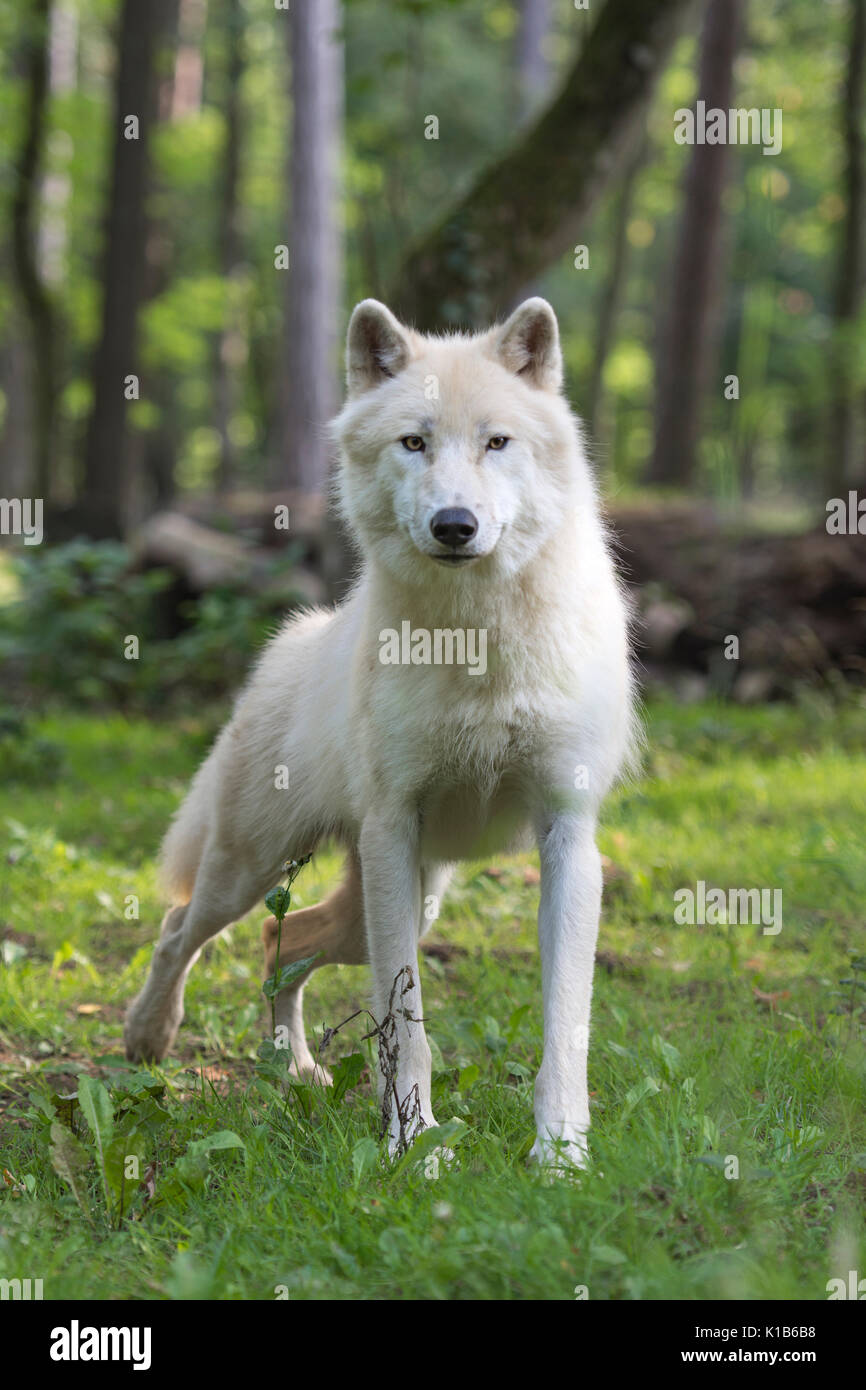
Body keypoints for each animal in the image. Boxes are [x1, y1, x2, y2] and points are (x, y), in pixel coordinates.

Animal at [124, 296, 636, 1168]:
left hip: (391, 900)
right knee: (178, 930)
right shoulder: (396, 829)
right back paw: (148, 1038)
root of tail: (296, 639)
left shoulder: (569, 835)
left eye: (497, 442)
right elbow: (408, 1022)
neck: (474, 646)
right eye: (414, 442)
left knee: (283, 943)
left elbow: (566, 1018)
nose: (455, 524)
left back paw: (292, 1071)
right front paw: (414, 1143)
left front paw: (562, 1154)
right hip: (255, 872)